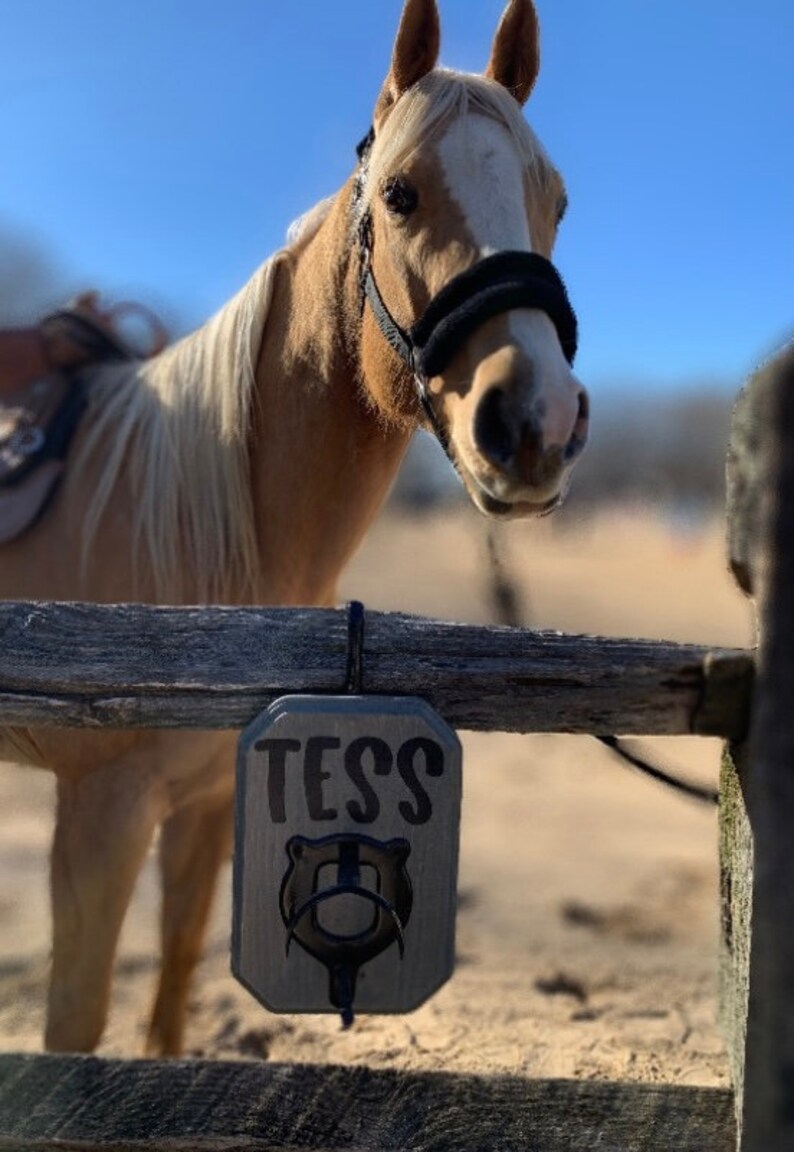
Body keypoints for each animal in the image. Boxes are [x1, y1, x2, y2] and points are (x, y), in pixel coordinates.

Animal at [0, 0, 588, 1056]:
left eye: (555, 201)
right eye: (399, 194)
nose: (538, 423)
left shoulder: (201, 808)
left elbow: (169, 1007)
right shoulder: (102, 816)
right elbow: (77, 1034)